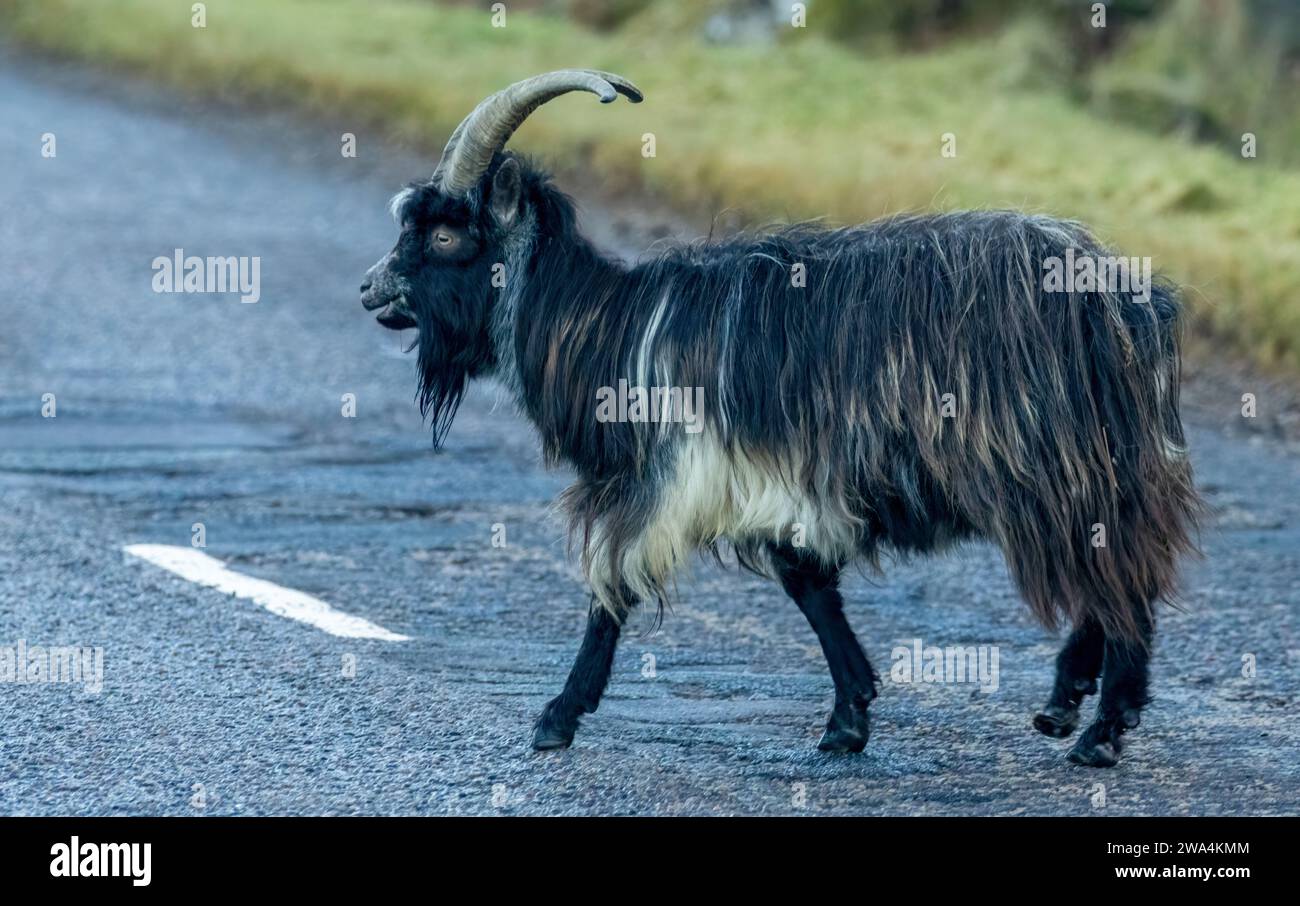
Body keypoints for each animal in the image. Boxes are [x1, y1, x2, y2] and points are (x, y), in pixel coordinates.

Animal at [360, 70, 1201, 767]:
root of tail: (1125, 297)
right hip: (1102, 463)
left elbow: (614, 592)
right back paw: (1066, 704)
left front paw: (557, 718)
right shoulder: (767, 481)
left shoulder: (676, 477)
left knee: (1118, 579)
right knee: (1114, 572)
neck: (605, 328)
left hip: (1058, 459)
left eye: (445, 234)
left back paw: (1100, 732)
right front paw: (850, 716)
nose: (371, 289)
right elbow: (810, 584)